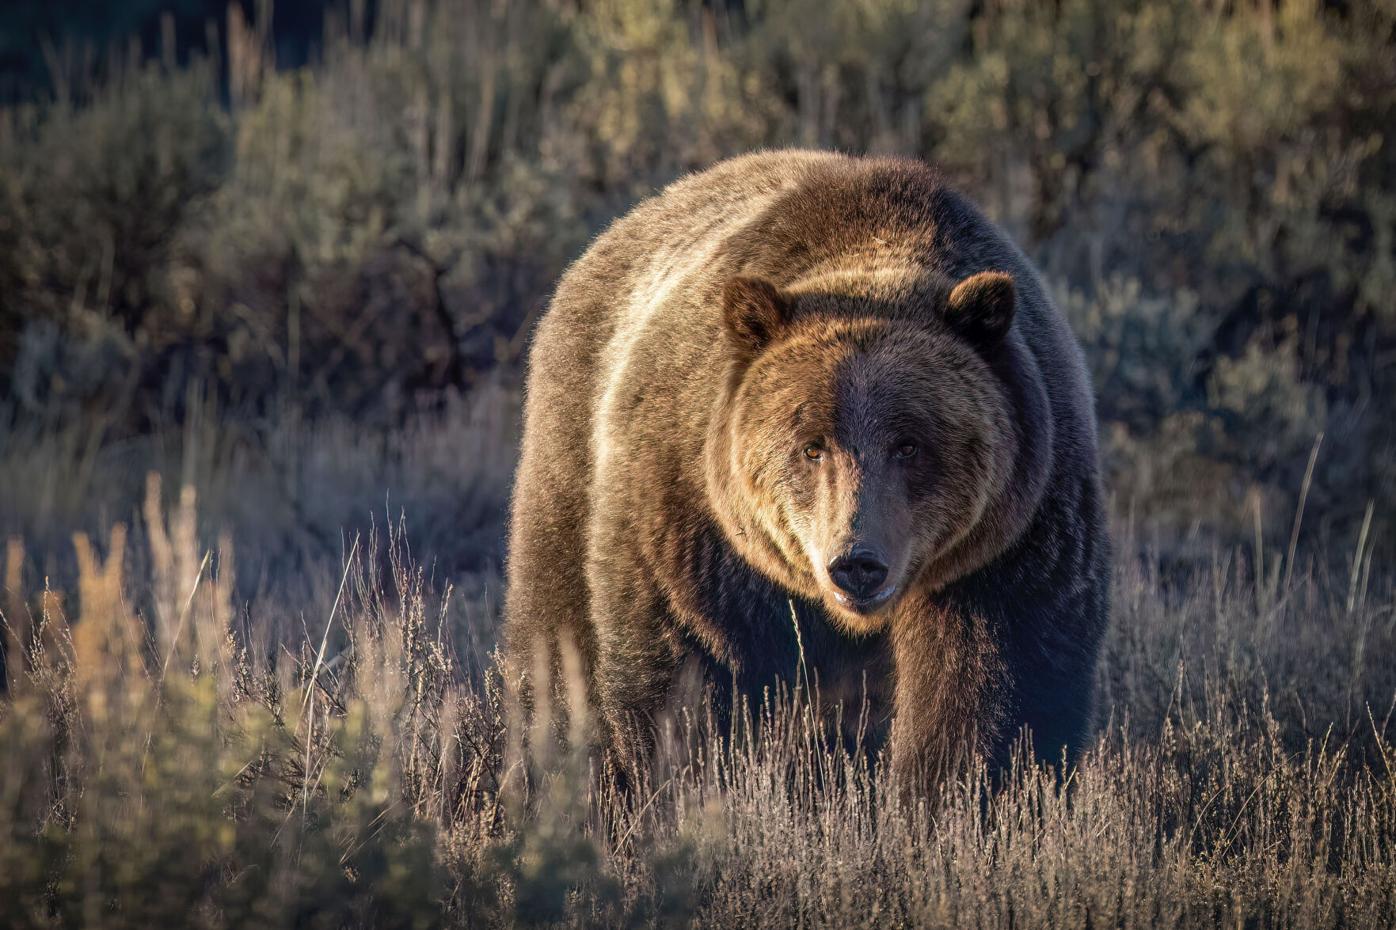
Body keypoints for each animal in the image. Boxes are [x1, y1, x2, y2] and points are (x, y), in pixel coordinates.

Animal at [503, 150, 1109, 787]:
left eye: (909, 445)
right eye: (811, 446)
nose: (857, 563)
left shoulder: (1010, 537)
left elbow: (998, 686)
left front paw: (954, 788)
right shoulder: (695, 514)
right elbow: (685, 665)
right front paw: (688, 772)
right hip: (574, 440)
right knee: (556, 622)